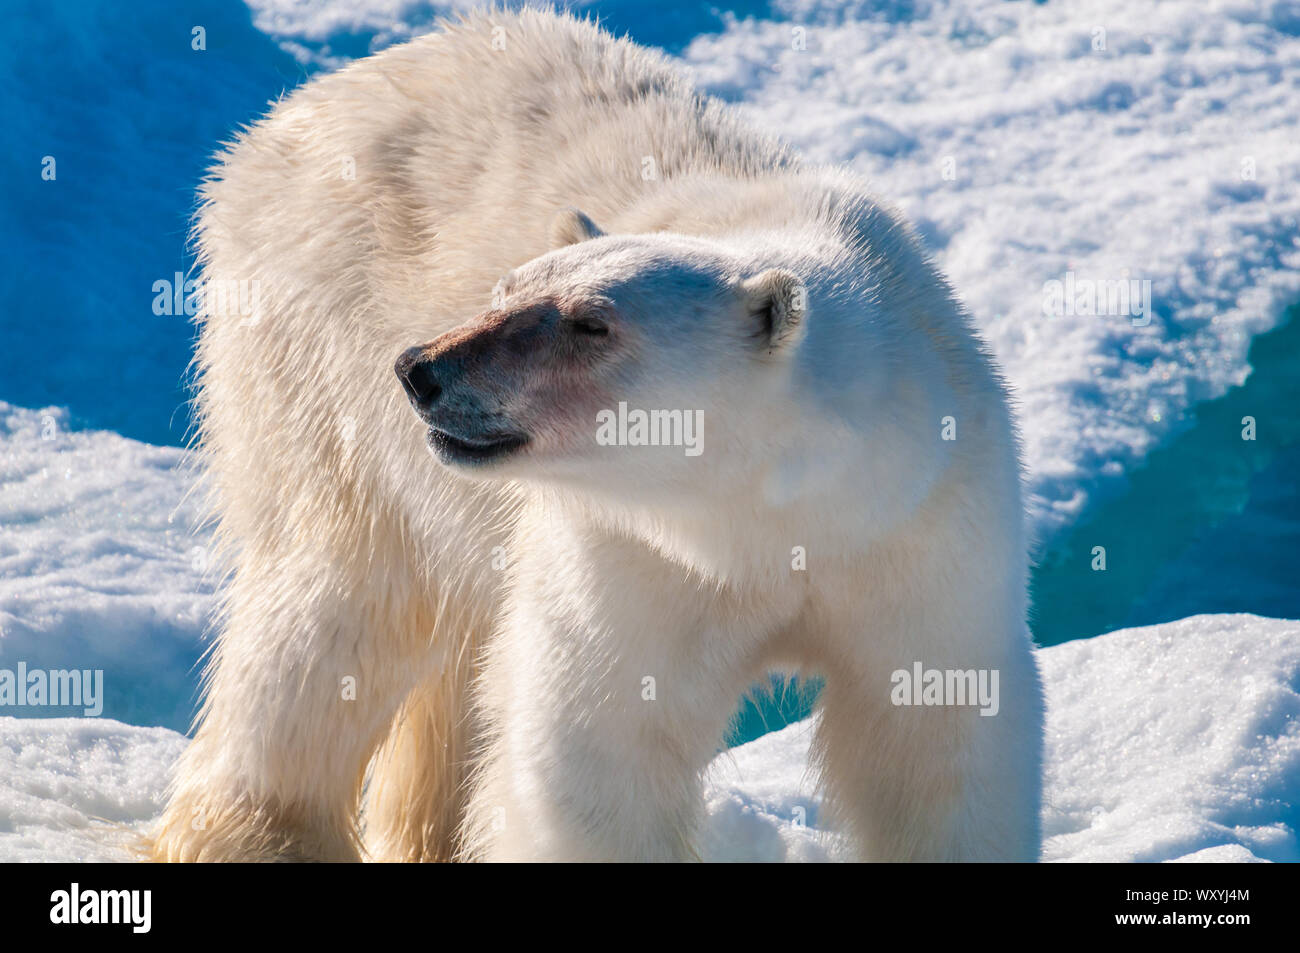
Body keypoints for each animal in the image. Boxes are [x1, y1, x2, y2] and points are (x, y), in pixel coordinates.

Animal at [150, 8, 1043, 862]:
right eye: (507, 288)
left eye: (590, 322)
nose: (421, 369)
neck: (770, 515)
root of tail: (296, 107)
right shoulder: (631, 549)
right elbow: (601, 738)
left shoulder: (921, 529)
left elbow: (931, 735)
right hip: (318, 365)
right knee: (334, 610)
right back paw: (261, 835)